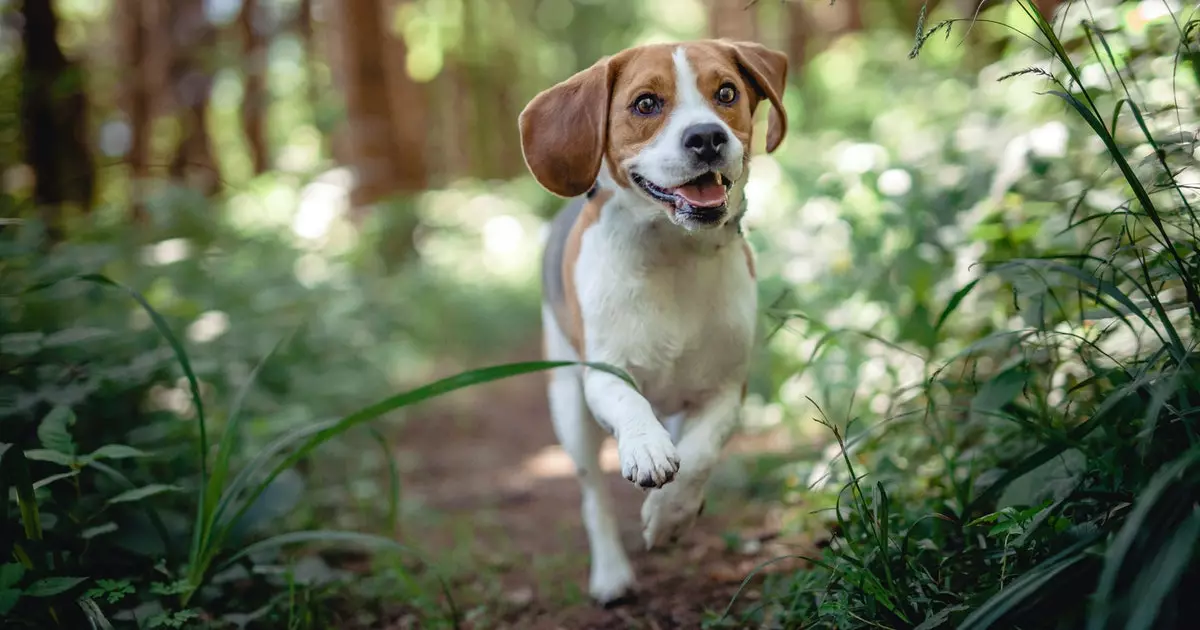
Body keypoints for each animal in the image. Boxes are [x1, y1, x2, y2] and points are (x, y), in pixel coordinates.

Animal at [516, 39, 787, 604]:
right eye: (645, 104)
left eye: (726, 93)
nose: (706, 136)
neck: (671, 253)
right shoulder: (602, 375)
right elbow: (629, 403)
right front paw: (645, 447)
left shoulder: (726, 387)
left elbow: (700, 456)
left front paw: (670, 516)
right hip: (568, 406)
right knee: (593, 495)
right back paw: (611, 574)